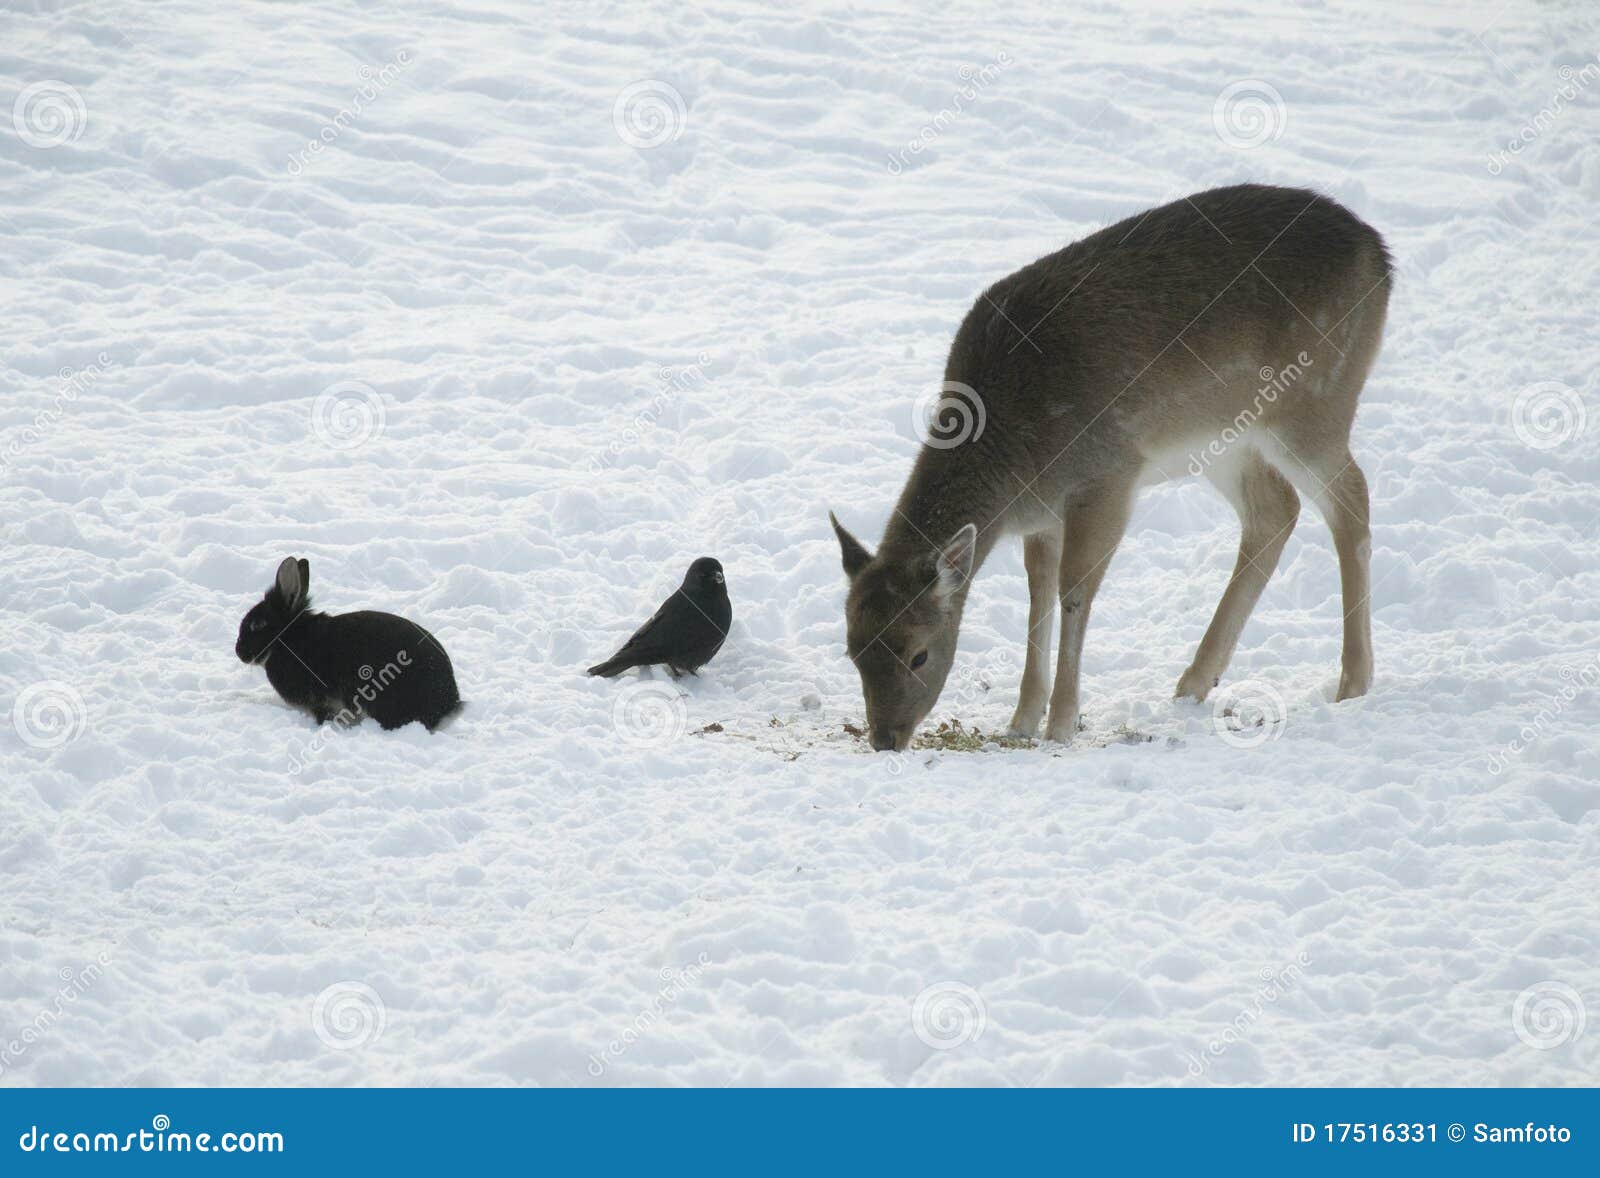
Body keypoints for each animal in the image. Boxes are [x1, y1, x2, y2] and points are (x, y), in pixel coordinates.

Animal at [830, 184, 1391, 752]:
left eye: (919, 653)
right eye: (852, 650)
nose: (884, 738)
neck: (1015, 463)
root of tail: (1380, 255)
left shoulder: (1108, 474)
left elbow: (1074, 590)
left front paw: (1060, 725)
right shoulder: (1044, 513)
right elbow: (1038, 593)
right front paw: (1021, 720)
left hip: (1315, 400)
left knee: (1352, 500)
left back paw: (1353, 679)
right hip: (1229, 437)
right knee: (1275, 510)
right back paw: (1195, 681)